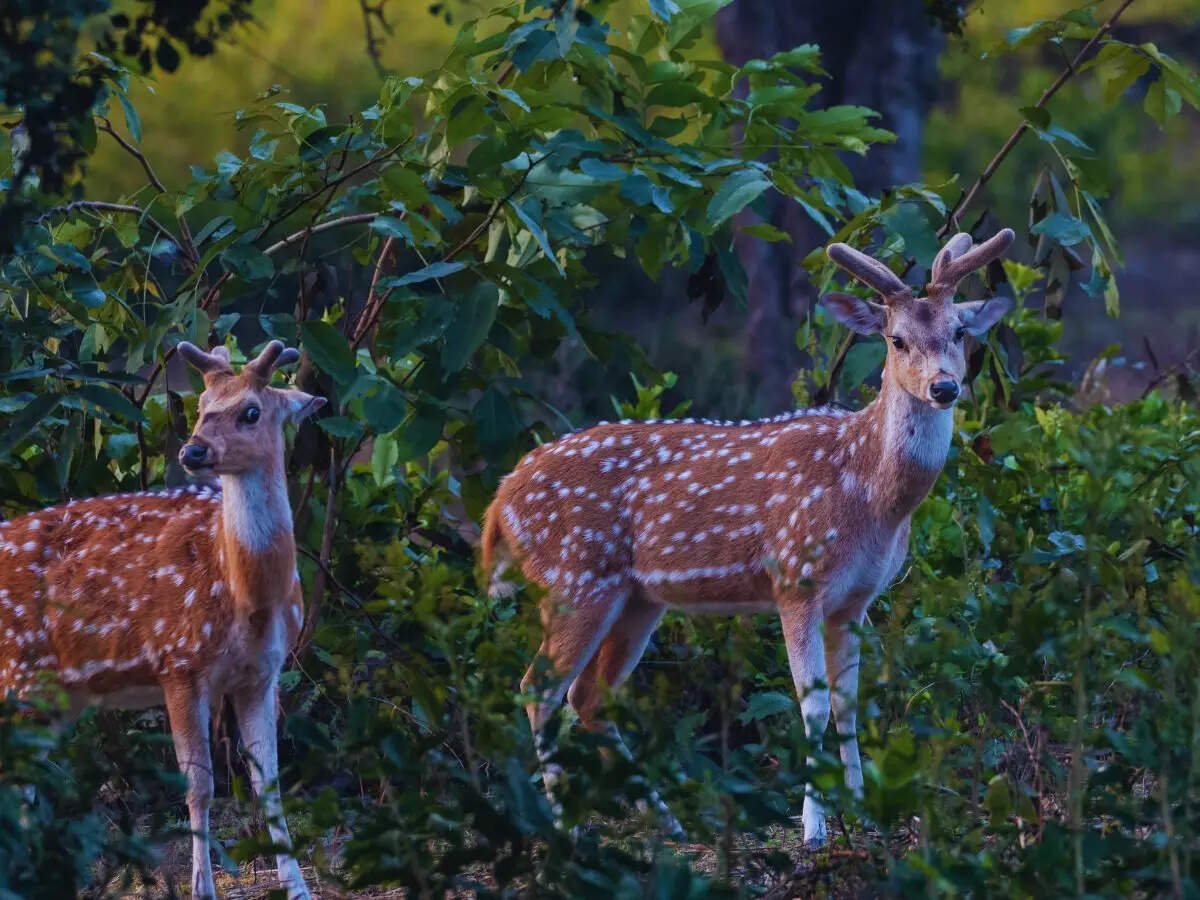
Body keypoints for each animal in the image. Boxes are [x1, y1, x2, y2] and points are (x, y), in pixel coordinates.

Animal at [0, 340, 322, 899]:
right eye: (201, 407)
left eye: (250, 411)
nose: (193, 451)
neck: (247, 596)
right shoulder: (178, 660)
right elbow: (199, 786)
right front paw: (202, 887)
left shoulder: (263, 674)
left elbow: (269, 783)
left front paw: (298, 887)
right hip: (13, 675)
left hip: (49, 697)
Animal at [481, 228, 1016, 845]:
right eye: (897, 339)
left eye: (959, 331)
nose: (945, 386)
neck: (868, 494)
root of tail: (499, 500)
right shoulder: (796, 578)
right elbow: (812, 707)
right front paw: (814, 827)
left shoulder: (856, 599)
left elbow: (849, 705)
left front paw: (861, 810)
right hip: (573, 577)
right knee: (537, 688)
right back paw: (564, 825)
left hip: (636, 598)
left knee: (587, 695)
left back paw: (668, 821)